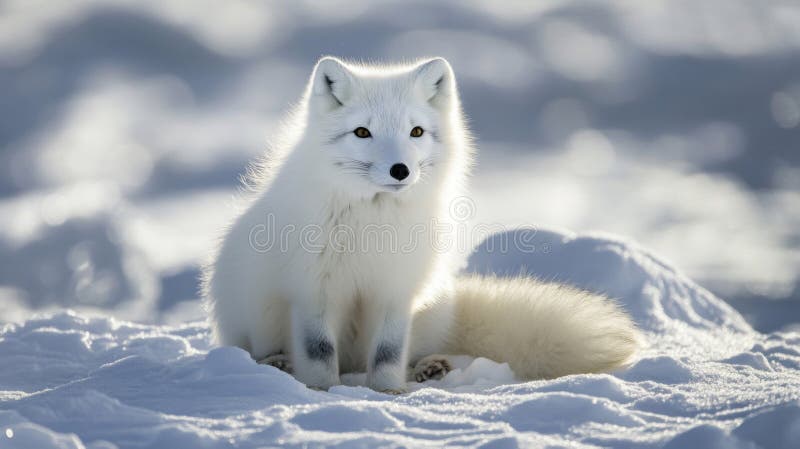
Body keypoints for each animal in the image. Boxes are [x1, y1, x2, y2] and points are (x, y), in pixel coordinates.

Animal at [203, 57, 640, 393]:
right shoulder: (314, 290)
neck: (374, 222)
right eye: (362, 132)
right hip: (248, 317)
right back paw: (279, 365)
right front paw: (322, 392)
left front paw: (388, 392)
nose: (400, 169)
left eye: (416, 131)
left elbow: (388, 352)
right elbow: (319, 351)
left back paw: (428, 369)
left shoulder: (397, 290)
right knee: (262, 350)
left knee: (404, 353)